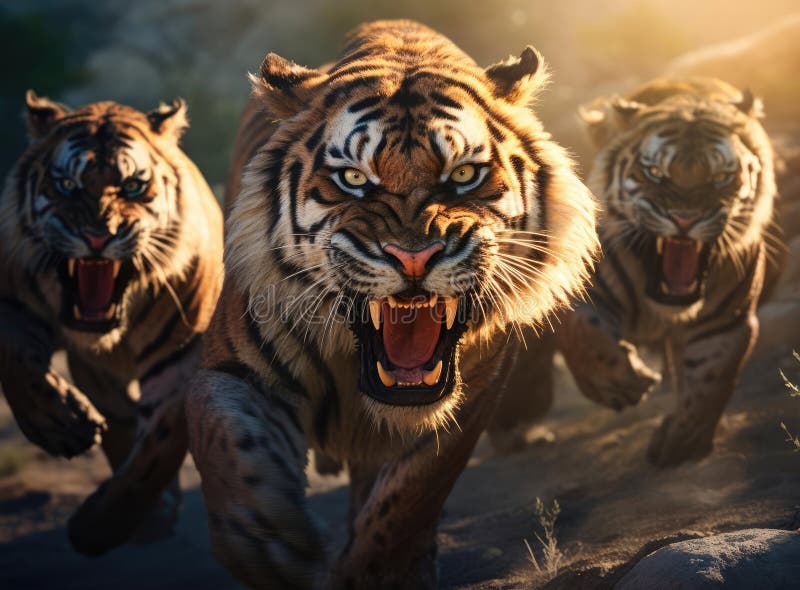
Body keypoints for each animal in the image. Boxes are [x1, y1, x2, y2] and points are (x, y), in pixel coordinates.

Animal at [0, 92, 224, 554]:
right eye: (67, 185)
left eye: (133, 186)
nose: (99, 237)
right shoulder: (13, 304)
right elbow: (15, 360)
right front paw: (59, 427)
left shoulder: (182, 353)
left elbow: (158, 448)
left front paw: (97, 529)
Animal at [186, 20, 598, 589]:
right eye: (354, 179)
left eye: (463, 175)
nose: (414, 256)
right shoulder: (230, 369)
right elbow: (226, 441)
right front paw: (268, 542)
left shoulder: (470, 399)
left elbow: (408, 498)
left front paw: (376, 572)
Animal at [557, 77, 777, 467]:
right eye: (656, 173)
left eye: (722, 177)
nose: (685, 219)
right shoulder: (580, 293)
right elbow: (584, 334)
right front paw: (622, 386)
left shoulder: (725, 322)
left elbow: (710, 380)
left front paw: (681, 445)